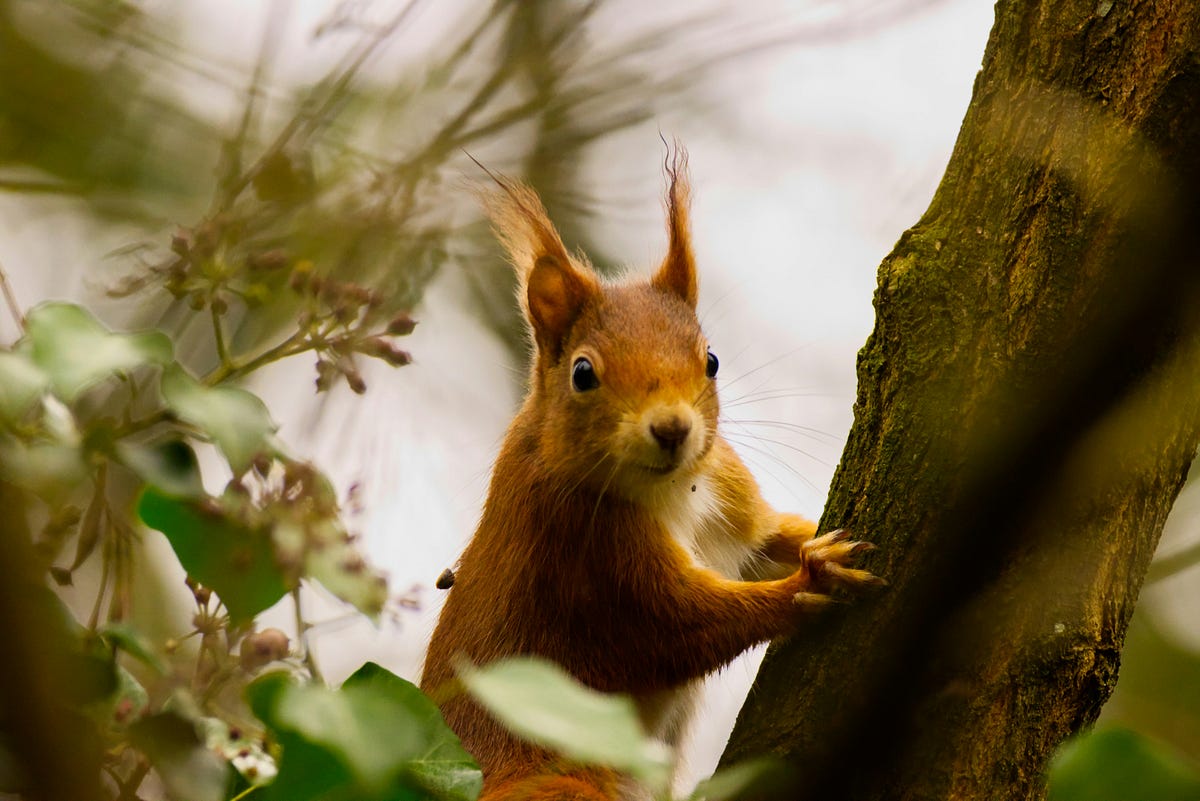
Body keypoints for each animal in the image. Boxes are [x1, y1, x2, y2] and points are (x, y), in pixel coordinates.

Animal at [420, 150, 880, 801]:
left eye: (711, 360)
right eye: (583, 373)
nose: (672, 429)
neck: (675, 489)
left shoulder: (730, 502)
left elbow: (771, 541)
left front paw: (816, 546)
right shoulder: (592, 557)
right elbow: (683, 627)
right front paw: (813, 581)